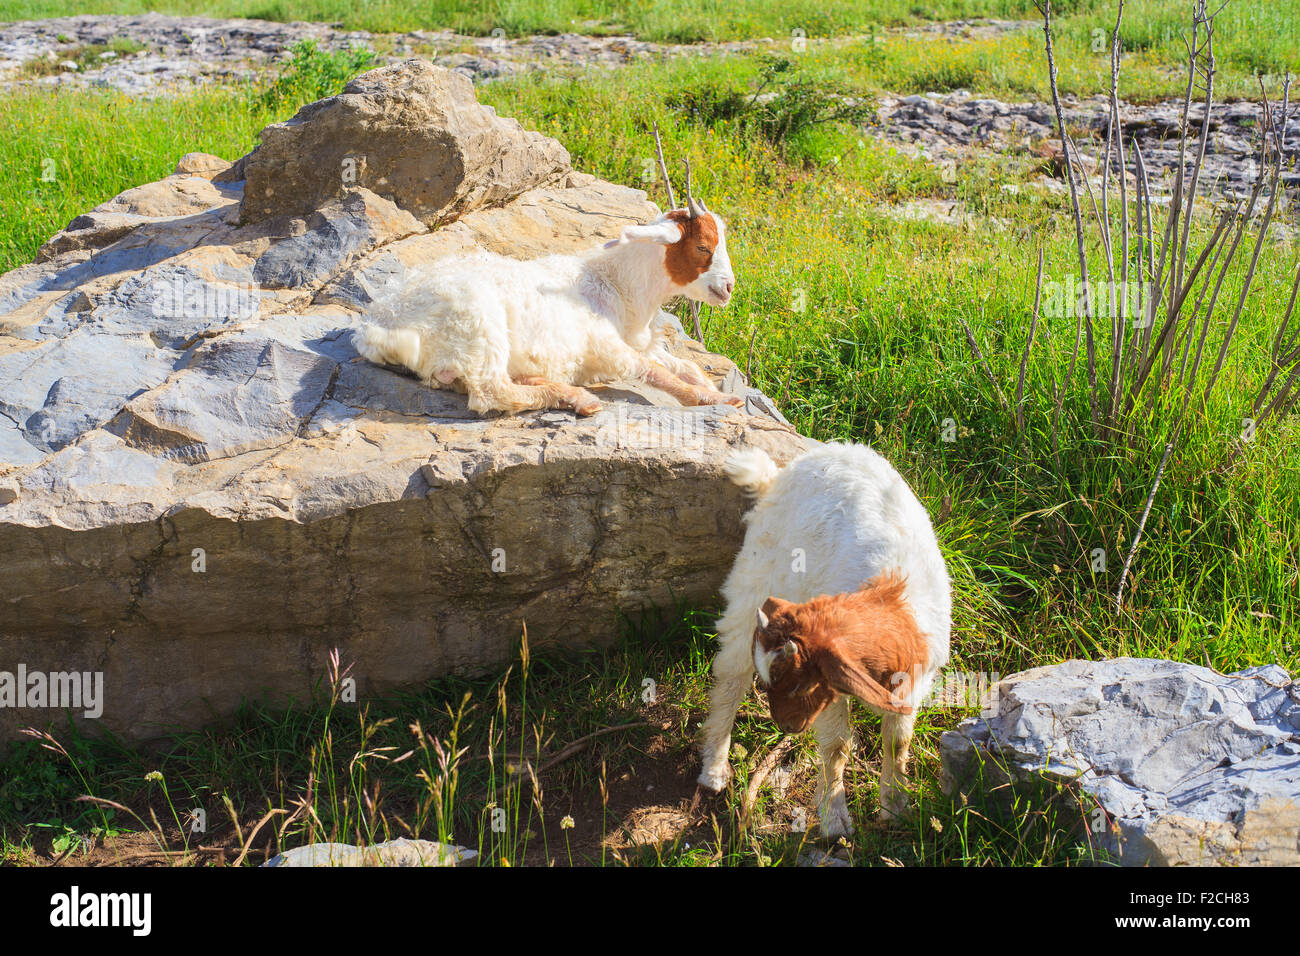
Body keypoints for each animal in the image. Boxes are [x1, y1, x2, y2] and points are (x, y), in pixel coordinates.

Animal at [353, 154, 741, 417]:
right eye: (703, 247)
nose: (728, 288)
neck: (618, 284)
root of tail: (375, 326)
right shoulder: (606, 345)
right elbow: (655, 371)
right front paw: (718, 398)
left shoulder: (638, 342)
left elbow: (685, 366)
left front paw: (708, 385)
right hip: (476, 324)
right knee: (490, 392)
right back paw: (577, 397)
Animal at [697, 443, 951, 835]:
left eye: (803, 685)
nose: (785, 726)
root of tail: (776, 477)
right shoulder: (835, 696)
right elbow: (836, 746)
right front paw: (835, 819)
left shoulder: (912, 683)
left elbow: (897, 742)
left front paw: (896, 808)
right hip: (752, 581)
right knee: (731, 676)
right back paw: (713, 769)